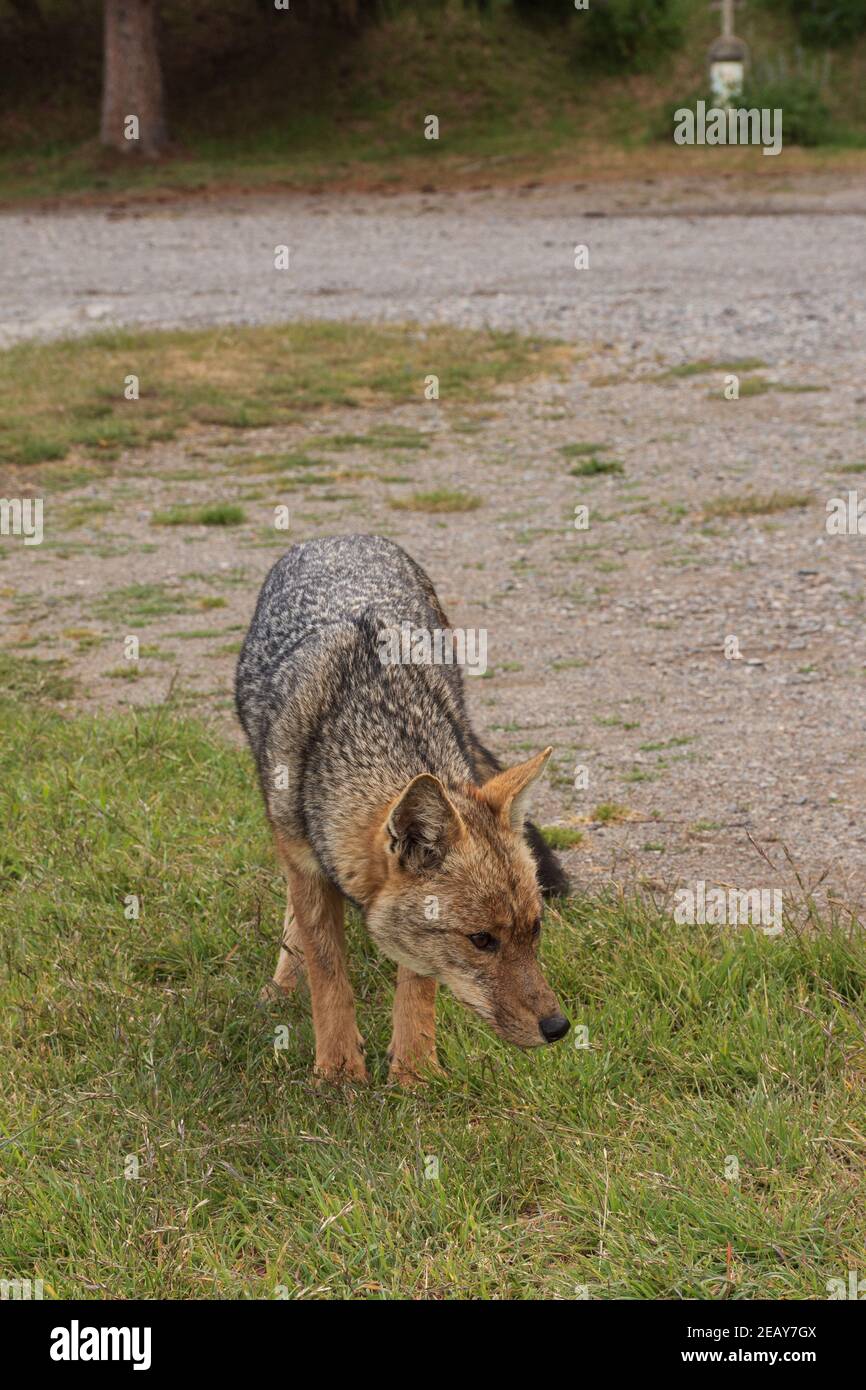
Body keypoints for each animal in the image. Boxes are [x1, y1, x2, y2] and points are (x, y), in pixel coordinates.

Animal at [235, 533, 570, 1084]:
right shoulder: (305, 861)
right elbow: (328, 977)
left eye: (535, 929)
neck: (376, 712)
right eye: (482, 940)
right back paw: (283, 984)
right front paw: (338, 1073)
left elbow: (418, 986)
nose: (559, 1028)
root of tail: (342, 536)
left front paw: (415, 1072)